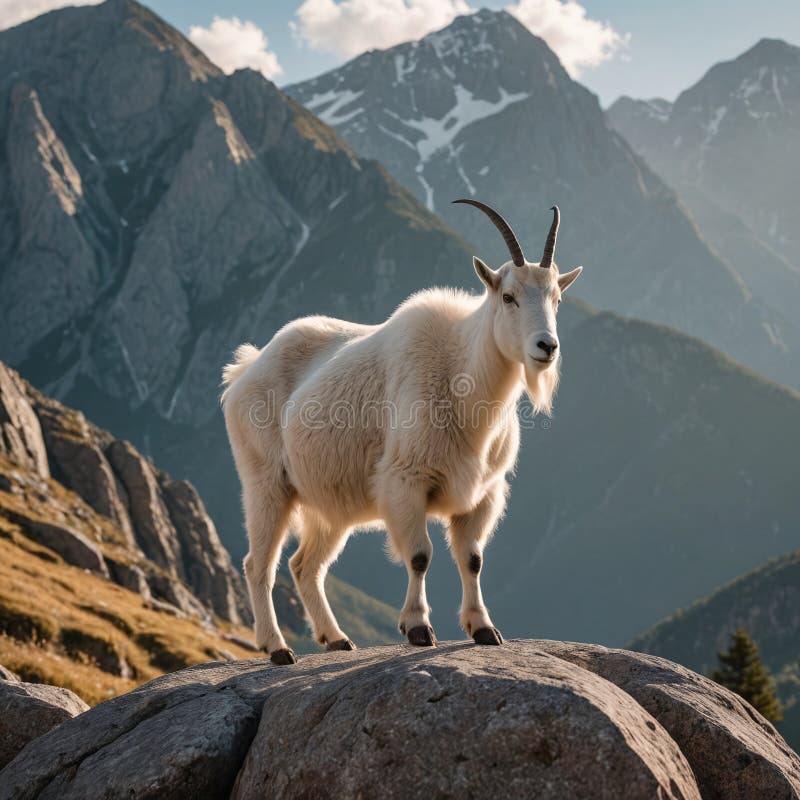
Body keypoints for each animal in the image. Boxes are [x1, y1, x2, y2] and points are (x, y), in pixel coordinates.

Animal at [222, 200, 582, 664]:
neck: (461, 376)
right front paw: (417, 628)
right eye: (508, 297)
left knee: (305, 565)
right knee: (258, 563)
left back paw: (336, 639)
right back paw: (278, 648)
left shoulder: (484, 493)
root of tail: (244, 370)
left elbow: (472, 559)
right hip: (266, 482)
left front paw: (484, 628)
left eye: (557, 297)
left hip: (328, 503)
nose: (546, 347)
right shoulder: (406, 480)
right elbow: (419, 556)